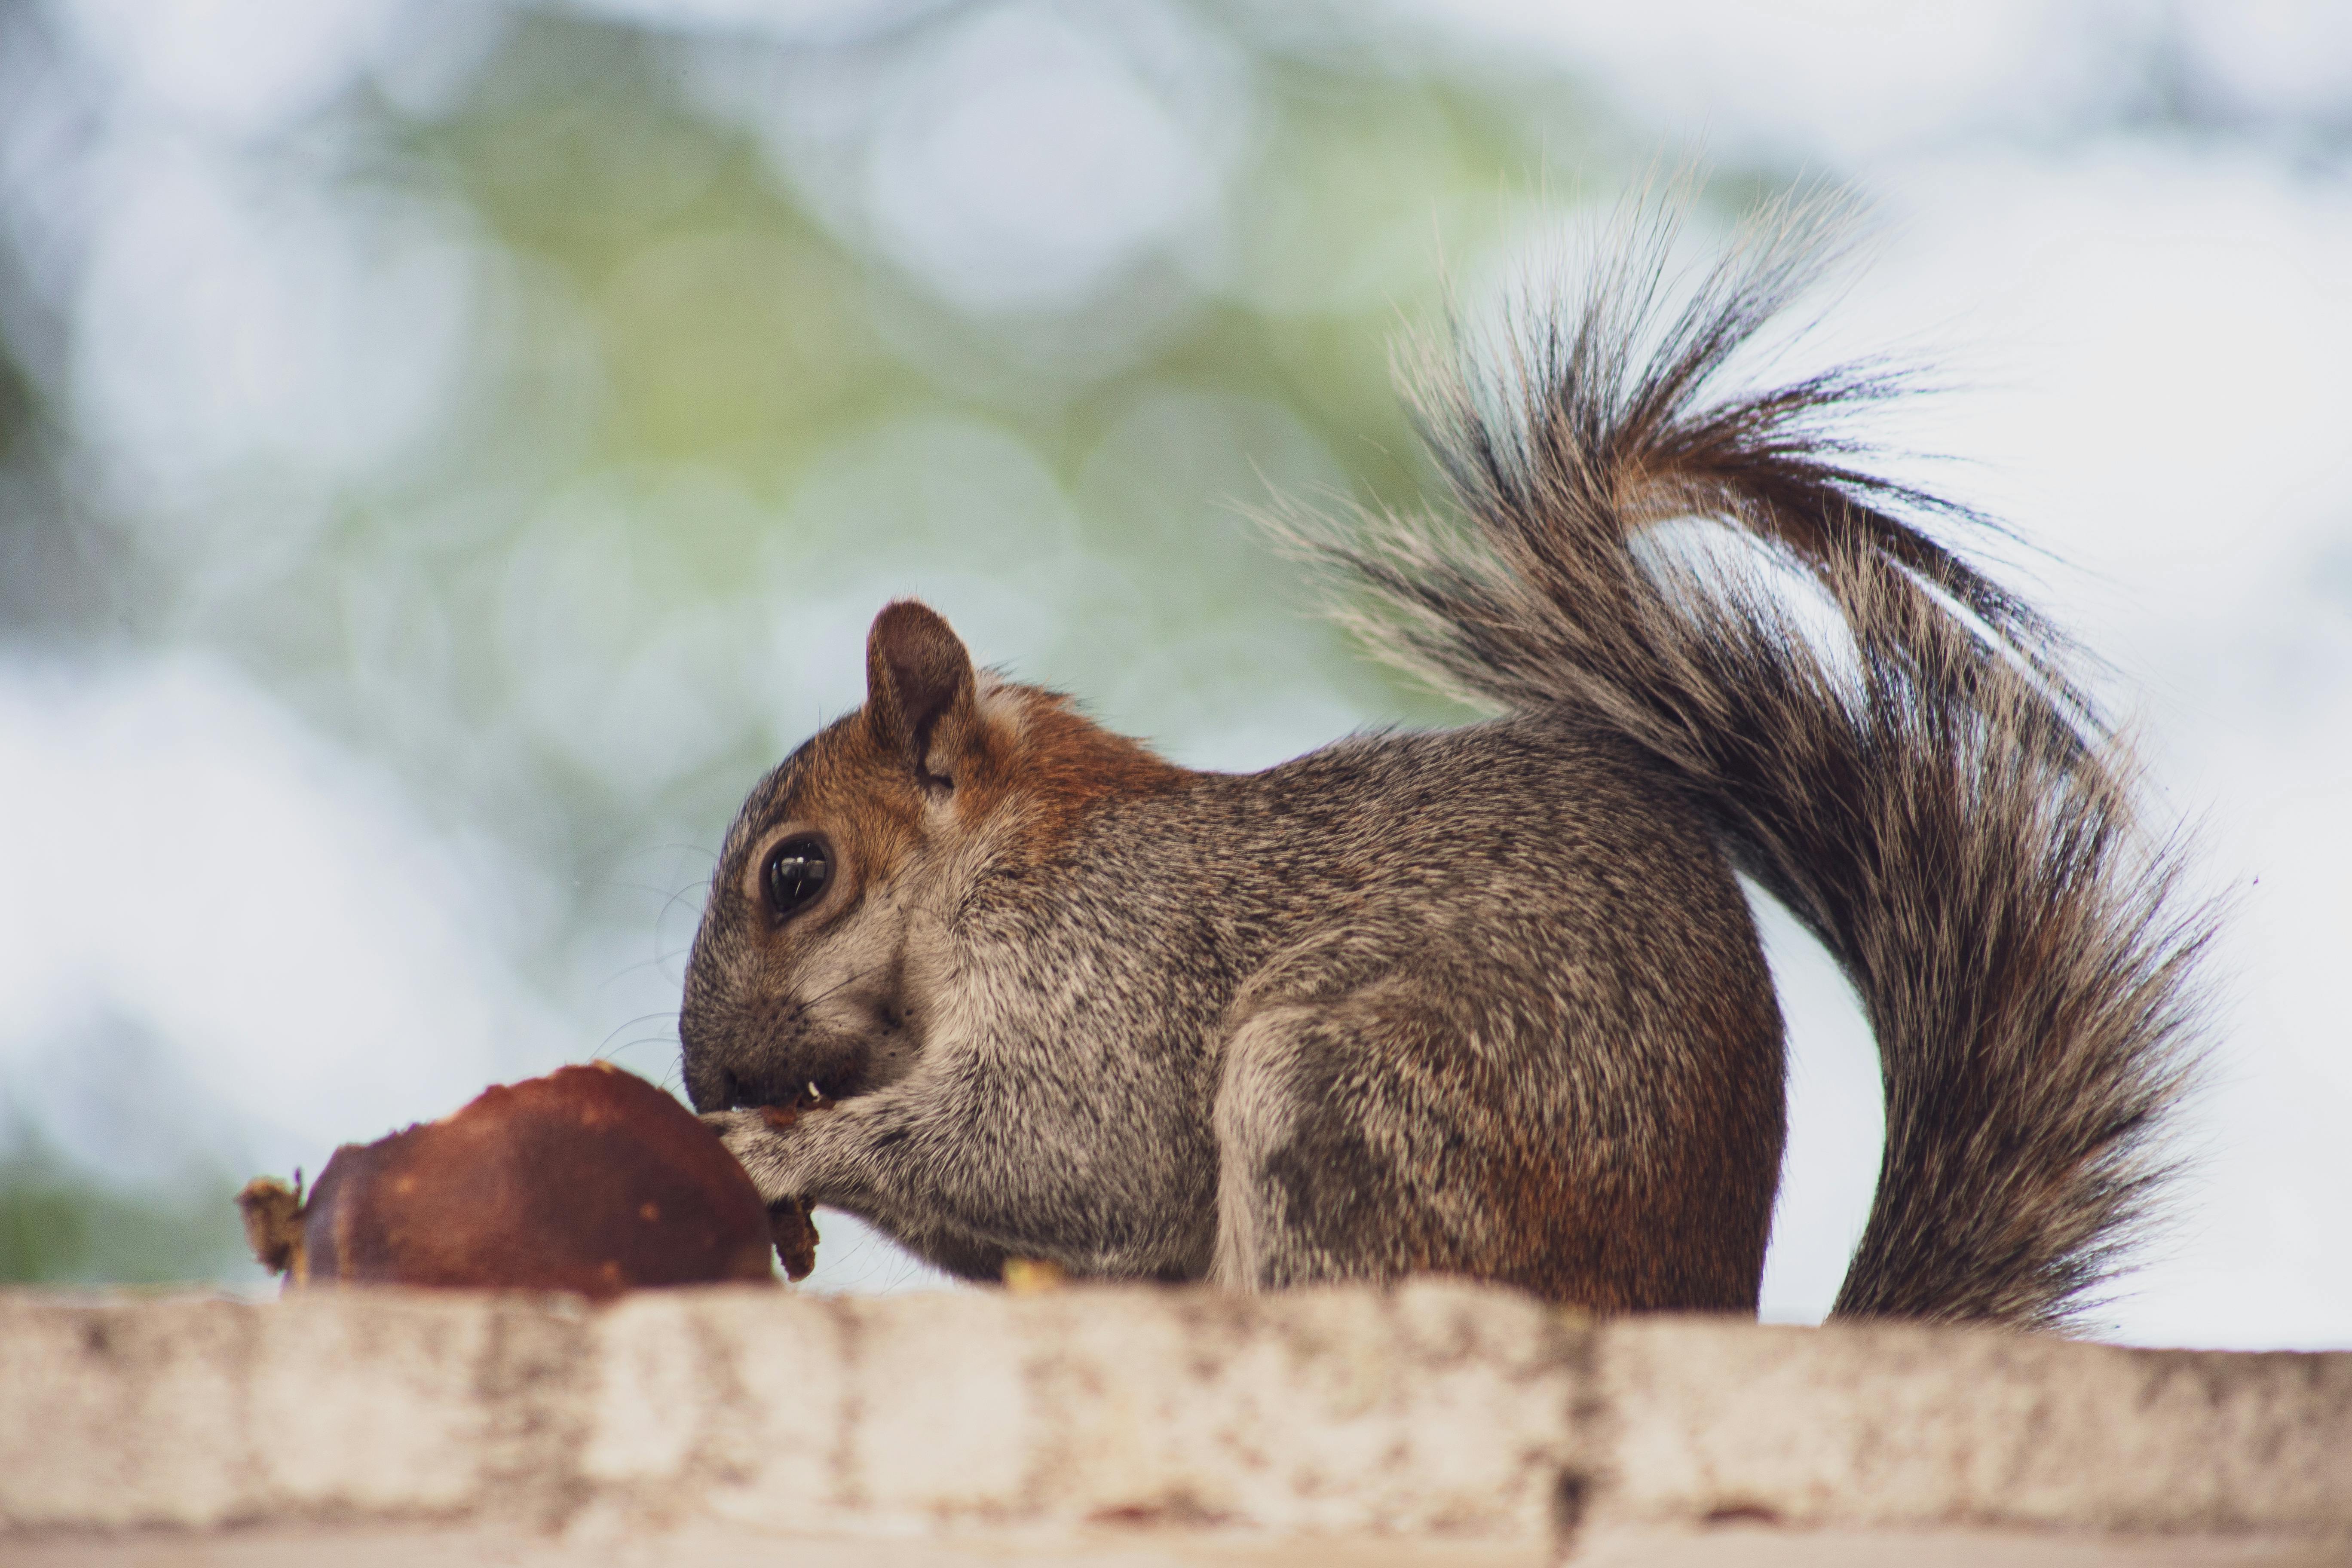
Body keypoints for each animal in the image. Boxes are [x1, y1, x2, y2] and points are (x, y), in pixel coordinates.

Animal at [682, 201, 2213, 1327]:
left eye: (797, 875)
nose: (706, 1084)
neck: (1012, 858)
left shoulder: (1114, 967)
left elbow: (1081, 1153)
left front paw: (779, 1150)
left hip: (1352, 1097)